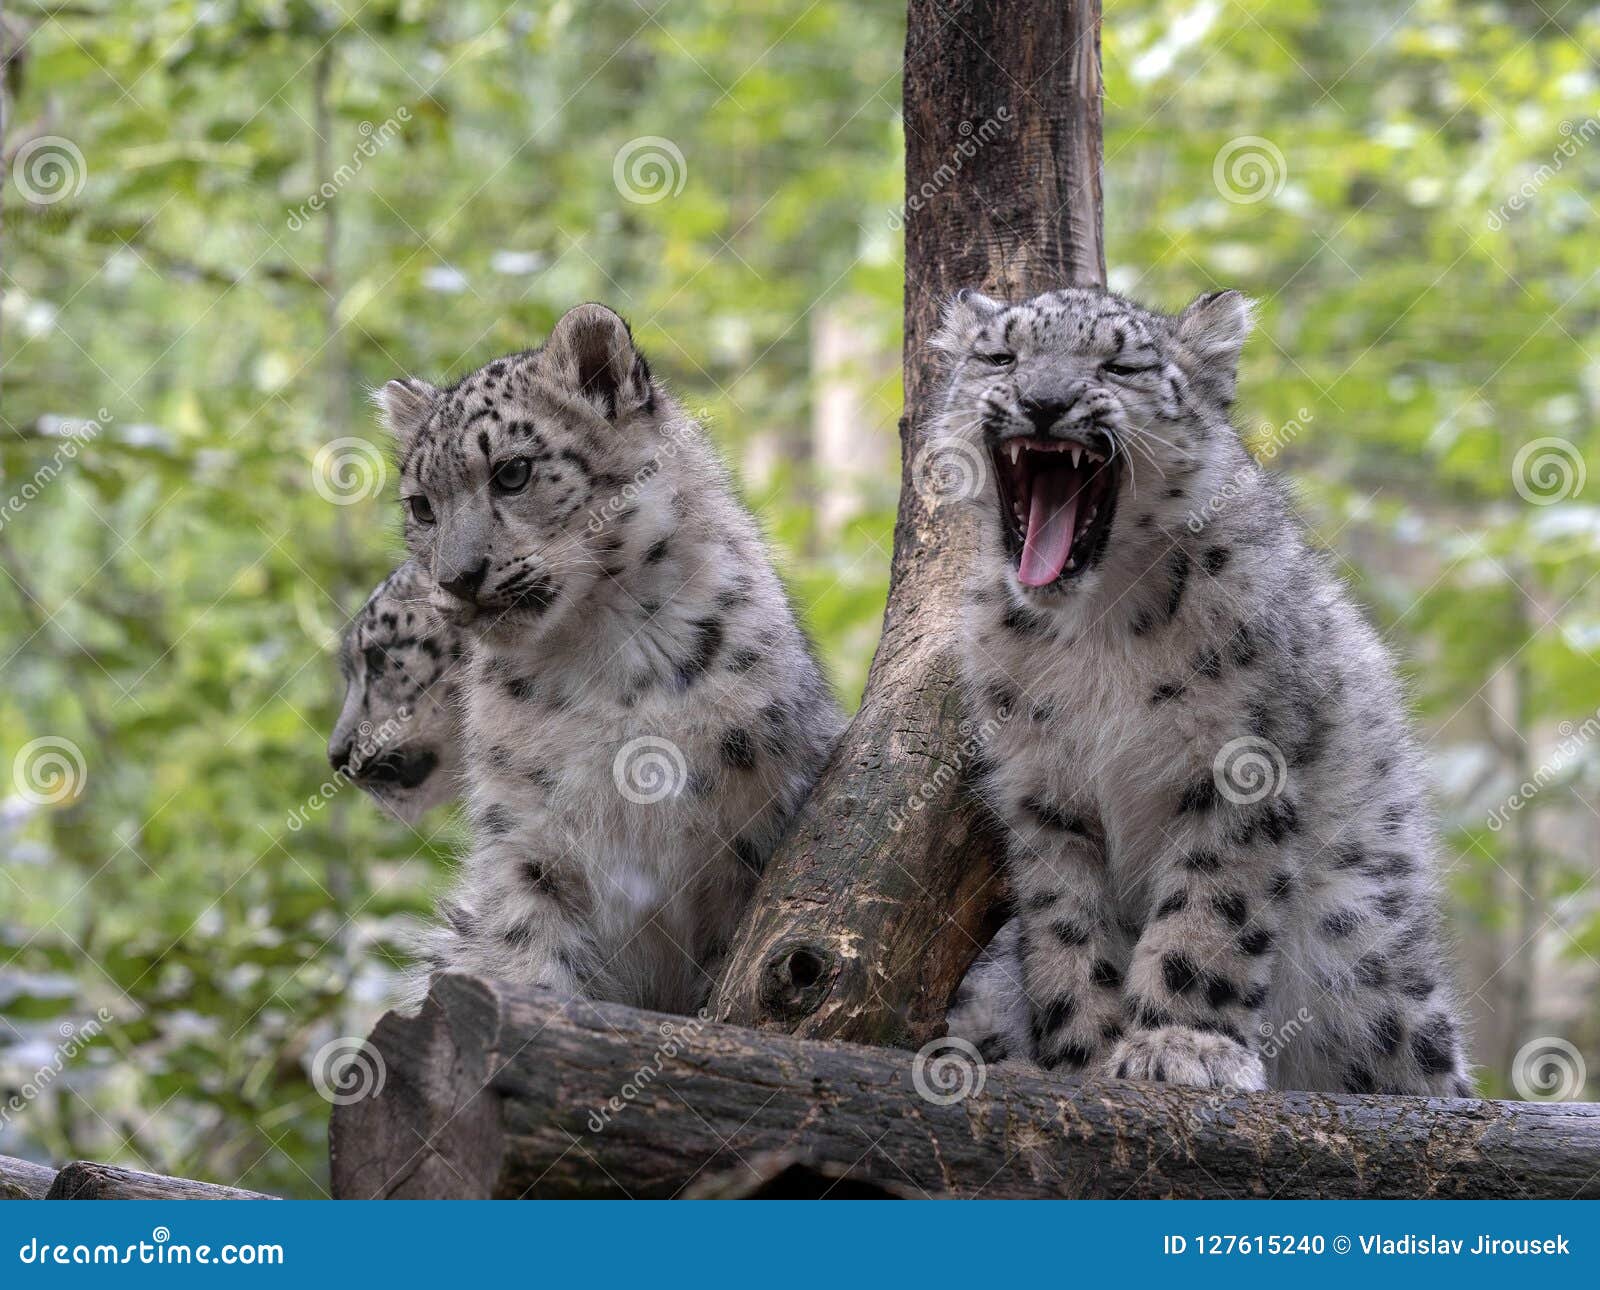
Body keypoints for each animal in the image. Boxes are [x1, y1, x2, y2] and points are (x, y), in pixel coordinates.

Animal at [378, 302, 843, 1014]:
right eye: (422, 506)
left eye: (512, 472)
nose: (456, 578)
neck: (601, 651)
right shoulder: (528, 848)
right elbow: (528, 952)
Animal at [933, 284, 1472, 1096]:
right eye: (1000, 356)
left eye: (1121, 365)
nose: (1043, 400)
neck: (1097, 630)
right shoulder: (1043, 793)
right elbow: (1067, 927)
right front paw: (1085, 1052)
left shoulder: (1241, 765)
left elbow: (1210, 910)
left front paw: (1182, 1044)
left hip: (1368, 958)